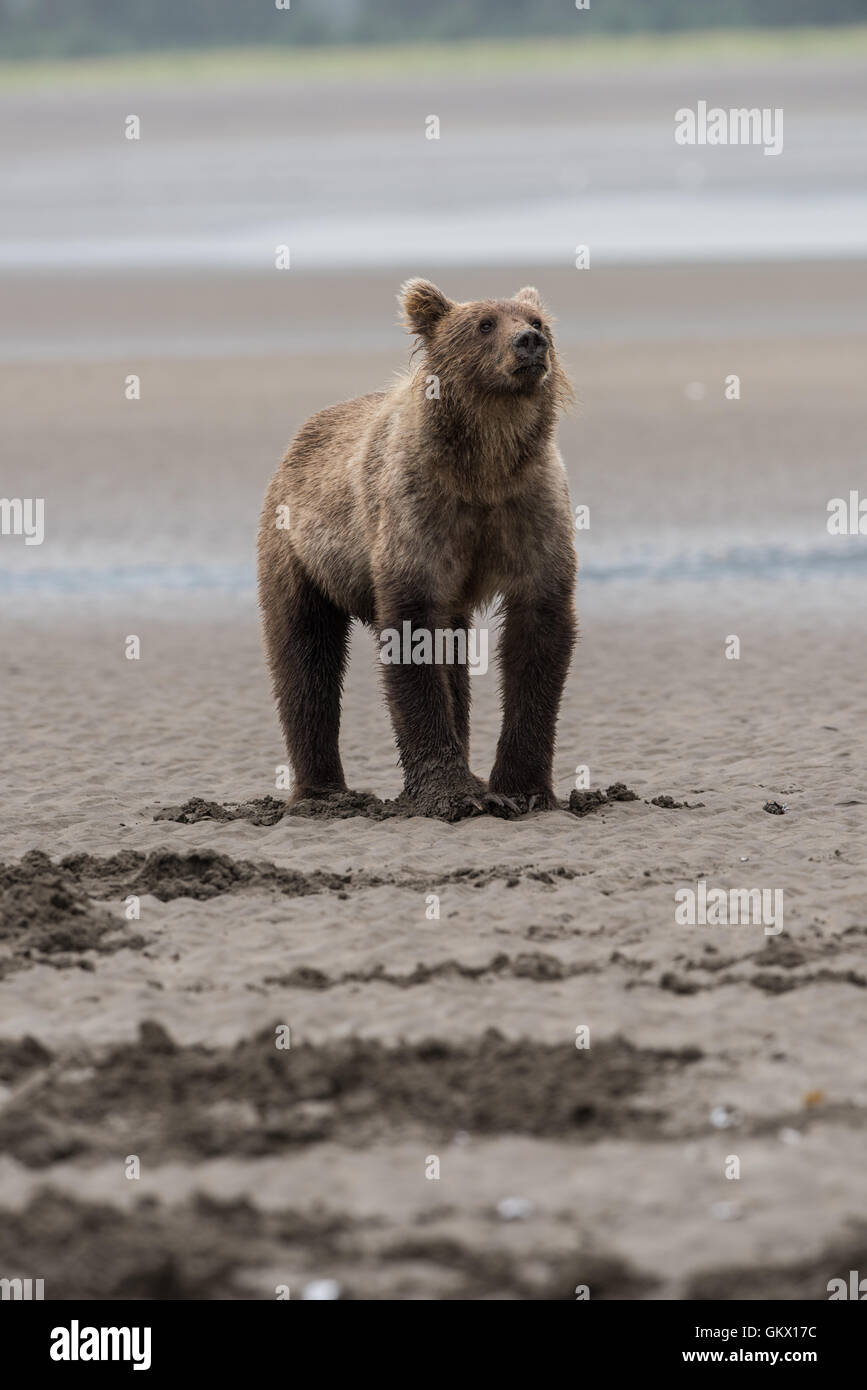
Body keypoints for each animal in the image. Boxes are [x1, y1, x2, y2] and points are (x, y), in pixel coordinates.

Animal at [257, 279, 577, 821]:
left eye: (537, 321)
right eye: (484, 323)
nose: (531, 342)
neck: (483, 468)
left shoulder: (531, 508)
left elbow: (539, 633)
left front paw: (523, 789)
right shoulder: (417, 512)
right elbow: (412, 634)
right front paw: (450, 792)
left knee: (453, 659)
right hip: (295, 551)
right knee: (304, 654)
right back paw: (325, 793)